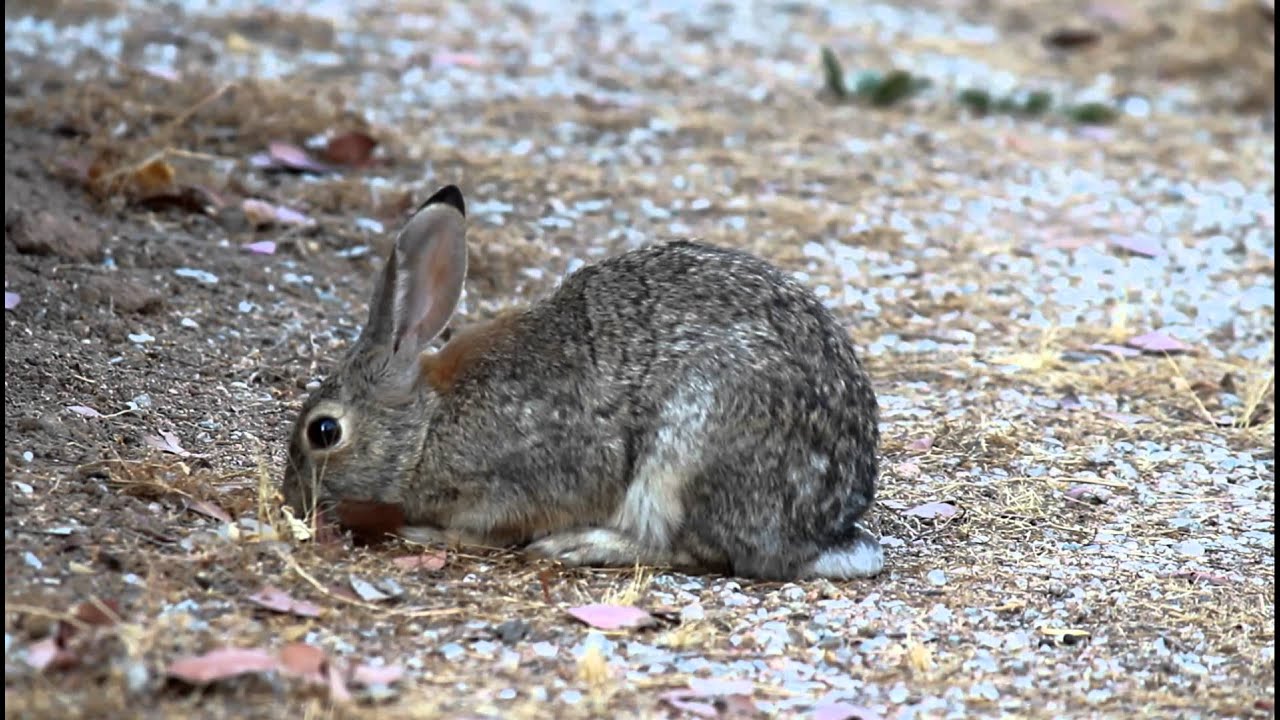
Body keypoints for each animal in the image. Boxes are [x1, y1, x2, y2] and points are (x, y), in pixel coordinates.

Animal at [282, 184, 884, 581]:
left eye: (324, 432)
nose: (293, 498)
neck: (427, 425)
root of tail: (824, 530)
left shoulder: (521, 479)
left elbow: (488, 527)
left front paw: (427, 534)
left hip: (688, 454)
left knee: (697, 551)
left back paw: (581, 546)